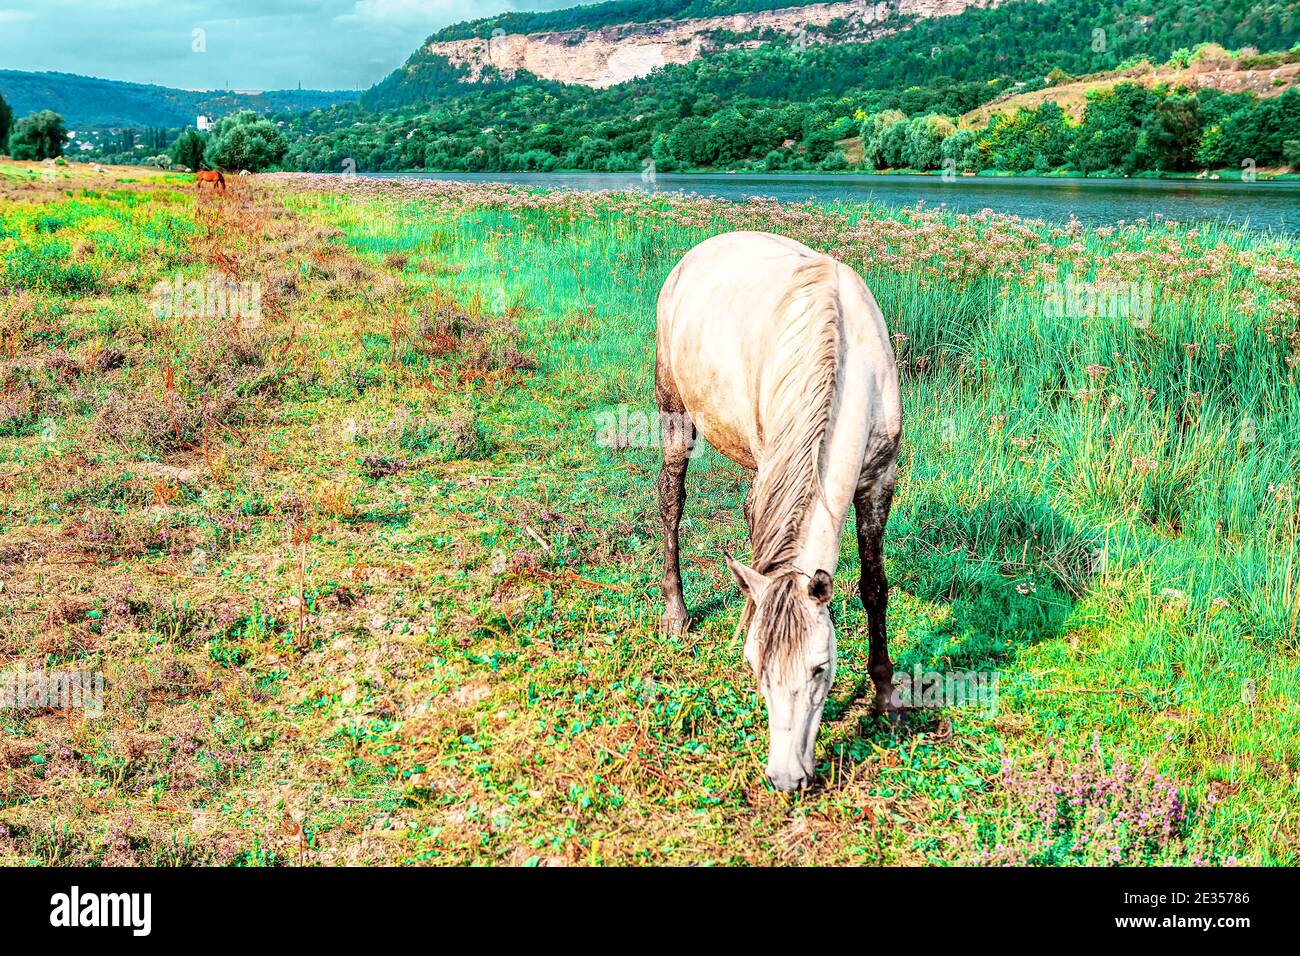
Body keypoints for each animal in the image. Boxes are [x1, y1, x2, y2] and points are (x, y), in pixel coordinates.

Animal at [655, 231, 902, 792]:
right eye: (755, 665)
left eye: (820, 668)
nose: (786, 777)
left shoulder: (879, 480)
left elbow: (874, 587)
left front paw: (885, 693)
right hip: (674, 411)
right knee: (671, 503)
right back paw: (677, 614)